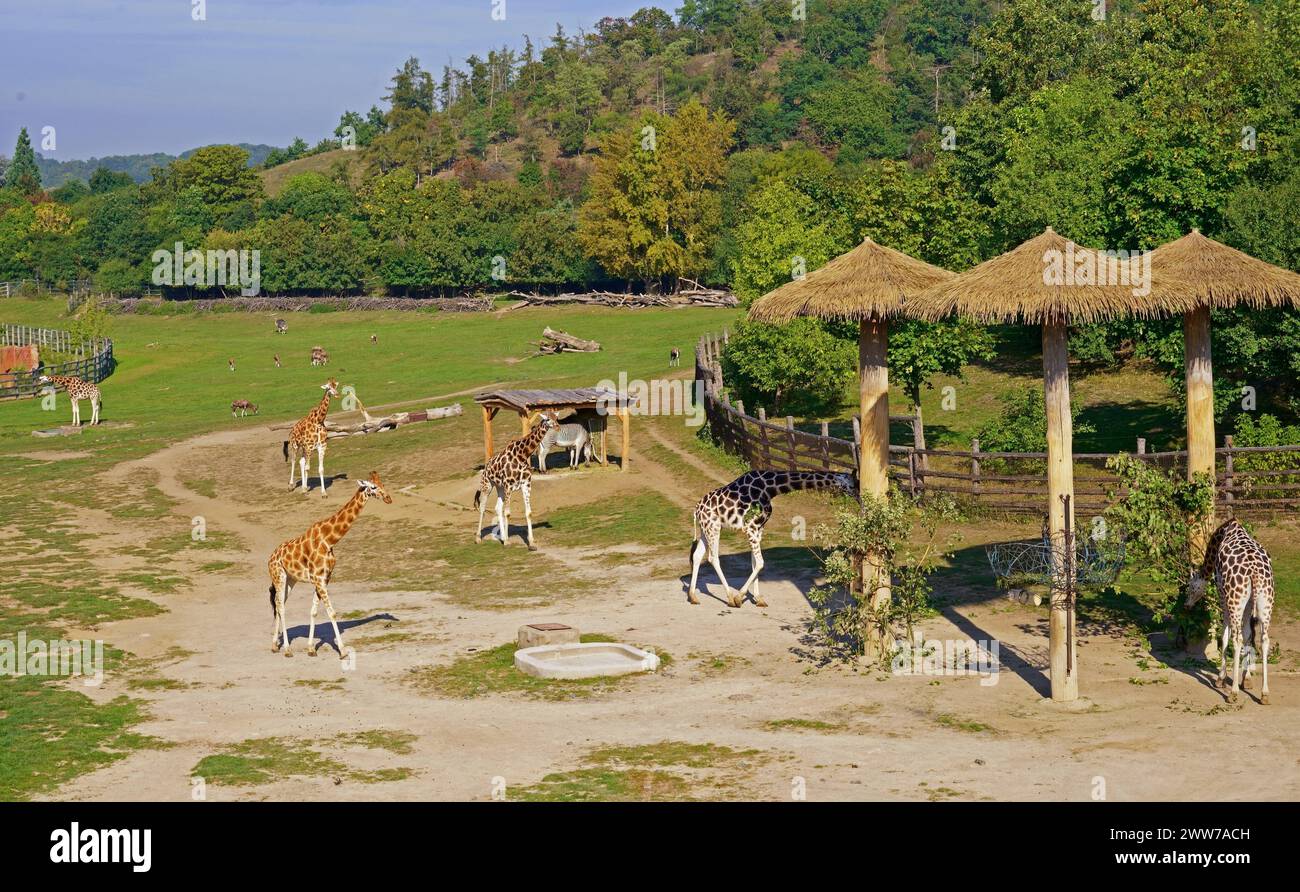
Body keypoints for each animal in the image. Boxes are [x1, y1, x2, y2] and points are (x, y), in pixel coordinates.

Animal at [267, 471, 392, 658]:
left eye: (383, 484)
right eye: (373, 487)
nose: (388, 498)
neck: (329, 540)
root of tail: (270, 559)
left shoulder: (324, 578)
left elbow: (314, 611)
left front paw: (311, 649)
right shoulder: (319, 579)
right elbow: (332, 613)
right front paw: (343, 651)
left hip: (290, 580)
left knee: (278, 603)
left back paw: (275, 645)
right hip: (279, 576)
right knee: (280, 606)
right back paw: (287, 649)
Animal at [473, 411, 559, 550]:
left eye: (557, 418)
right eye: (547, 419)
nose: (557, 427)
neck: (522, 455)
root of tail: (486, 466)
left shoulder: (526, 484)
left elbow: (528, 512)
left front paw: (531, 543)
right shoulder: (508, 485)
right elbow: (508, 512)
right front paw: (508, 542)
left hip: (499, 487)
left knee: (497, 507)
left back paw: (502, 537)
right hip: (487, 484)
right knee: (482, 507)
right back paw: (478, 538)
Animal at [688, 470, 856, 608]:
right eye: (852, 485)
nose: (858, 497)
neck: (770, 488)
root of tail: (696, 510)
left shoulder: (759, 528)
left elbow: (755, 563)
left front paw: (758, 599)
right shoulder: (750, 527)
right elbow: (760, 563)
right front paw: (739, 598)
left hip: (706, 528)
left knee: (697, 555)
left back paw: (693, 596)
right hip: (713, 527)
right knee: (713, 557)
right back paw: (729, 597)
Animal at [1186, 518, 1275, 704]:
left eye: (1190, 588)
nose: (1186, 605)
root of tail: (1254, 571)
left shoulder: (1222, 595)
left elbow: (1225, 635)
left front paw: (1221, 679)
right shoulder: (1248, 605)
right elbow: (1248, 634)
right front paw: (1246, 679)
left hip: (1235, 600)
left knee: (1237, 638)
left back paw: (1233, 693)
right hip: (1265, 601)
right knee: (1263, 640)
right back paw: (1264, 694)